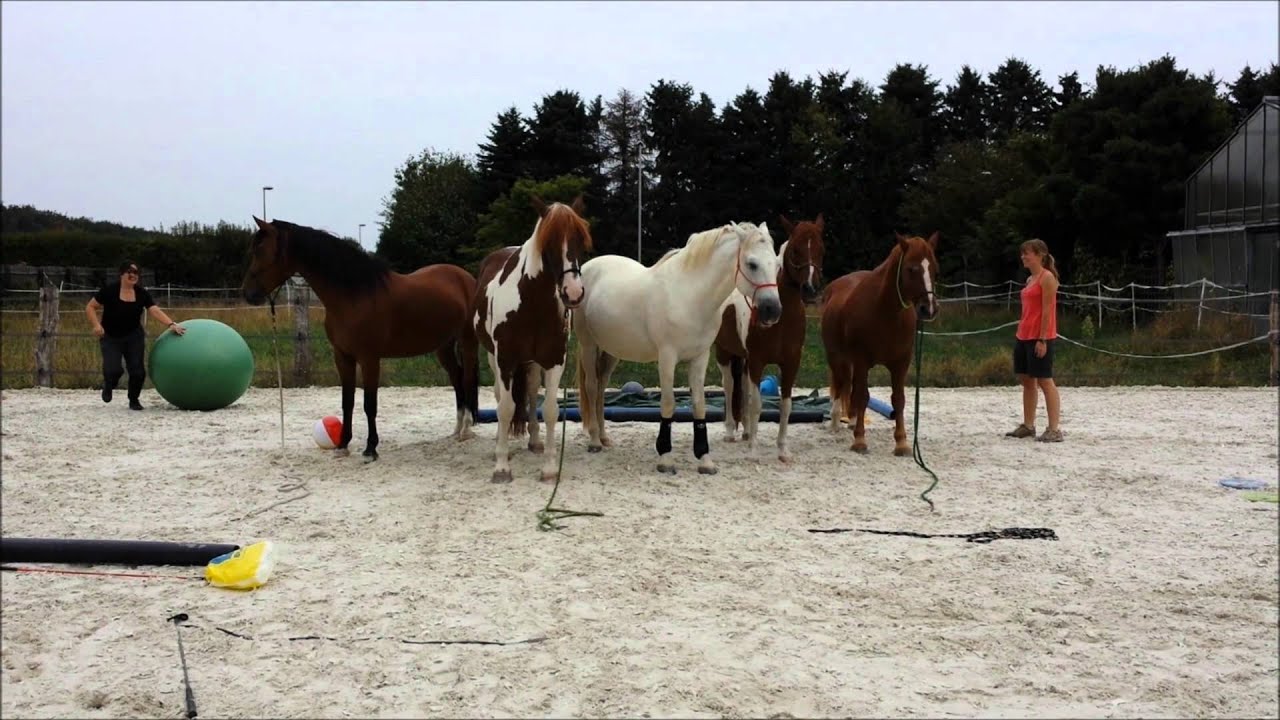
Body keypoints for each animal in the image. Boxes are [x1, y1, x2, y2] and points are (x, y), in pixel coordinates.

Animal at [240, 217, 479, 462]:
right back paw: (457, 429)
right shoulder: (342, 357)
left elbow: (369, 404)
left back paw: (467, 428)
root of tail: (466, 278)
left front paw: (370, 449)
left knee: (467, 378)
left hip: (468, 342)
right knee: (456, 378)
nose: (248, 294)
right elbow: (347, 402)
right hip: (444, 347)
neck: (353, 296)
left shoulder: (369, 358)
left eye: (261, 250)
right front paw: (343, 445)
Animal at [473, 196, 592, 484]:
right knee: (500, 397)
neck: (532, 304)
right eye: (548, 242)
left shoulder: (554, 361)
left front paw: (549, 468)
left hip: (533, 364)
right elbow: (505, 408)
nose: (573, 293)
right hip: (493, 358)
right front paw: (502, 466)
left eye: (580, 240)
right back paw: (499, 446)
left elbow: (549, 410)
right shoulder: (505, 360)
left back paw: (535, 442)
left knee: (529, 393)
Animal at [573, 221, 783, 475]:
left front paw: (705, 460)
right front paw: (665, 458)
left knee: (602, 387)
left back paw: (604, 438)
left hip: (611, 351)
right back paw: (595, 441)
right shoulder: (667, 358)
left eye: (777, 264)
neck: (690, 295)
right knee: (592, 387)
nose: (773, 311)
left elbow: (699, 406)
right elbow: (668, 403)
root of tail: (588, 267)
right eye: (752, 264)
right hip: (588, 345)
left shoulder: (700, 357)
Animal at [714, 214, 825, 463]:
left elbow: (785, 405)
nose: (810, 289)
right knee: (729, 387)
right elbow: (757, 404)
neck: (783, 320)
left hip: (744, 360)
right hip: (724, 354)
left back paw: (746, 432)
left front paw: (782, 450)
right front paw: (754, 450)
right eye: (795, 250)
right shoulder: (758, 361)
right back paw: (730, 432)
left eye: (821, 248)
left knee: (743, 390)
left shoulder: (791, 363)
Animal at [820, 231, 940, 456]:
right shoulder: (861, 361)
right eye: (911, 269)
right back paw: (835, 422)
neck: (885, 313)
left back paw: (852, 420)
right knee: (841, 384)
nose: (929, 309)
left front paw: (901, 443)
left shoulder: (901, 363)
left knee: (849, 387)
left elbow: (898, 399)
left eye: (934, 270)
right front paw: (859, 440)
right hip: (836, 357)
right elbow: (862, 396)